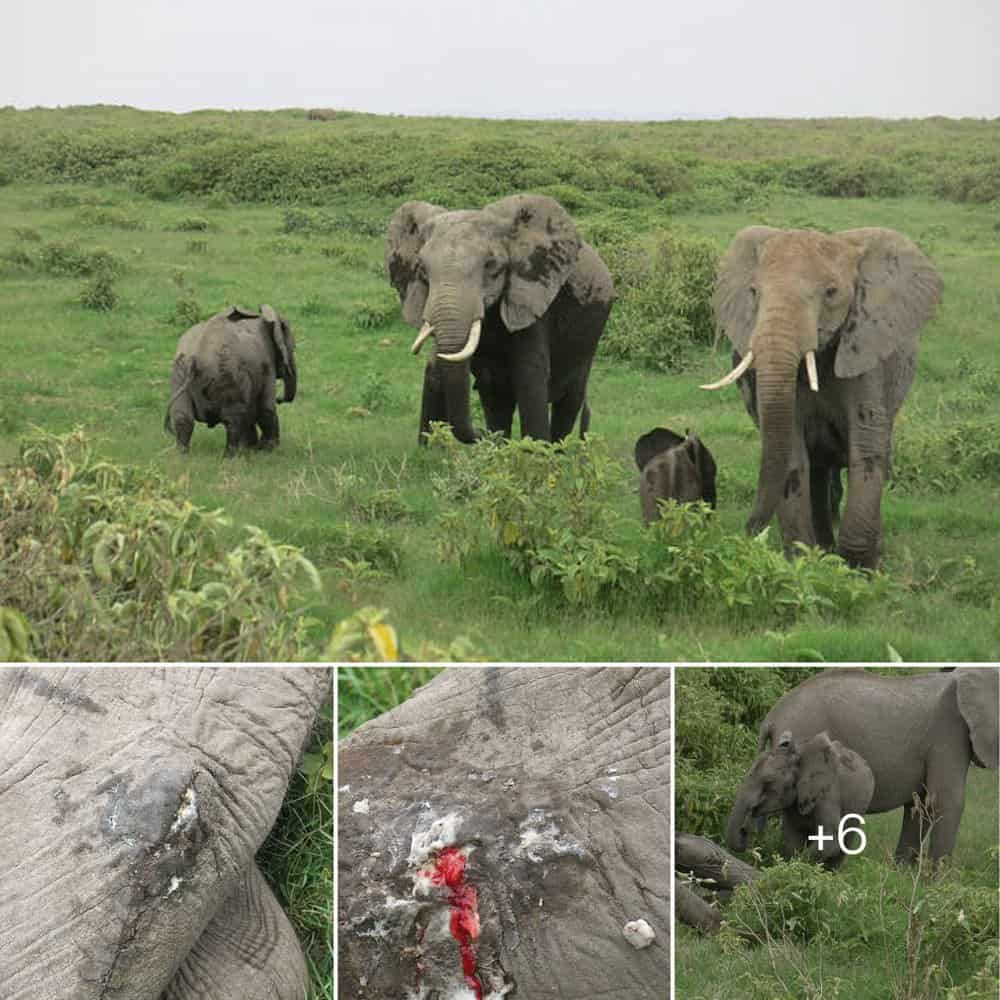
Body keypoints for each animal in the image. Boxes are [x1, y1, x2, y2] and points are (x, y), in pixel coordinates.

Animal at [165, 304, 297, 456]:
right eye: (293, 348)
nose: (279, 399)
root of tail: (194, 358)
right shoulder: (267, 365)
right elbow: (266, 407)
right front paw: (267, 451)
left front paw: (252, 450)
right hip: (226, 374)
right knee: (233, 420)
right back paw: (230, 457)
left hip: (178, 373)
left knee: (182, 418)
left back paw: (182, 457)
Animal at [385, 194, 615, 444]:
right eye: (422, 271)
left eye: (491, 266)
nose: (483, 433)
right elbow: (491, 386)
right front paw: (499, 445)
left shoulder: (532, 298)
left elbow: (530, 378)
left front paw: (535, 450)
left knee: (570, 401)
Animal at [703, 227, 942, 569]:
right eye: (753, 292)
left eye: (831, 293)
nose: (747, 533)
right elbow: (792, 454)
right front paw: (804, 562)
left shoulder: (864, 347)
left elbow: (866, 444)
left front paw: (859, 568)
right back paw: (824, 549)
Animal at [726, 729, 875, 868]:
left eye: (768, 782)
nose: (744, 830)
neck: (800, 755)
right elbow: (791, 837)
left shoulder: (828, 795)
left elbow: (829, 839)